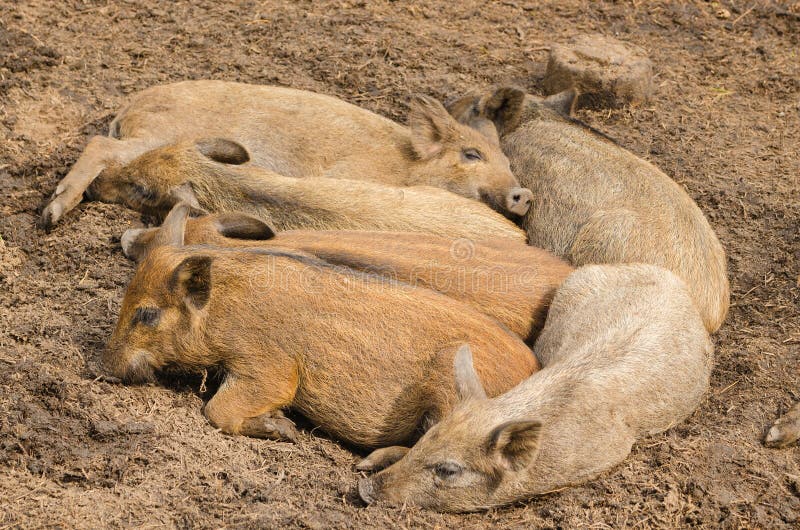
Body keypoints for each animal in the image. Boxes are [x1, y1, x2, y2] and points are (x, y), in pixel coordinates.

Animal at [40, 81, 533, 228]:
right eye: (471, 154)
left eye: (508, 163)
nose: (523, 194)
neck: (406, 168)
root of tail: (132, 105)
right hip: (157, 134)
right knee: (103, 146)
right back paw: (50, 216)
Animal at [102, 243, 540, 449]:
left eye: (146, 314)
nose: (102, 366)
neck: (227, 307)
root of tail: (533, 369)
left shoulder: (270, 367)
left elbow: (217, 409)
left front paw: (286, 429)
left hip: (451, 383)